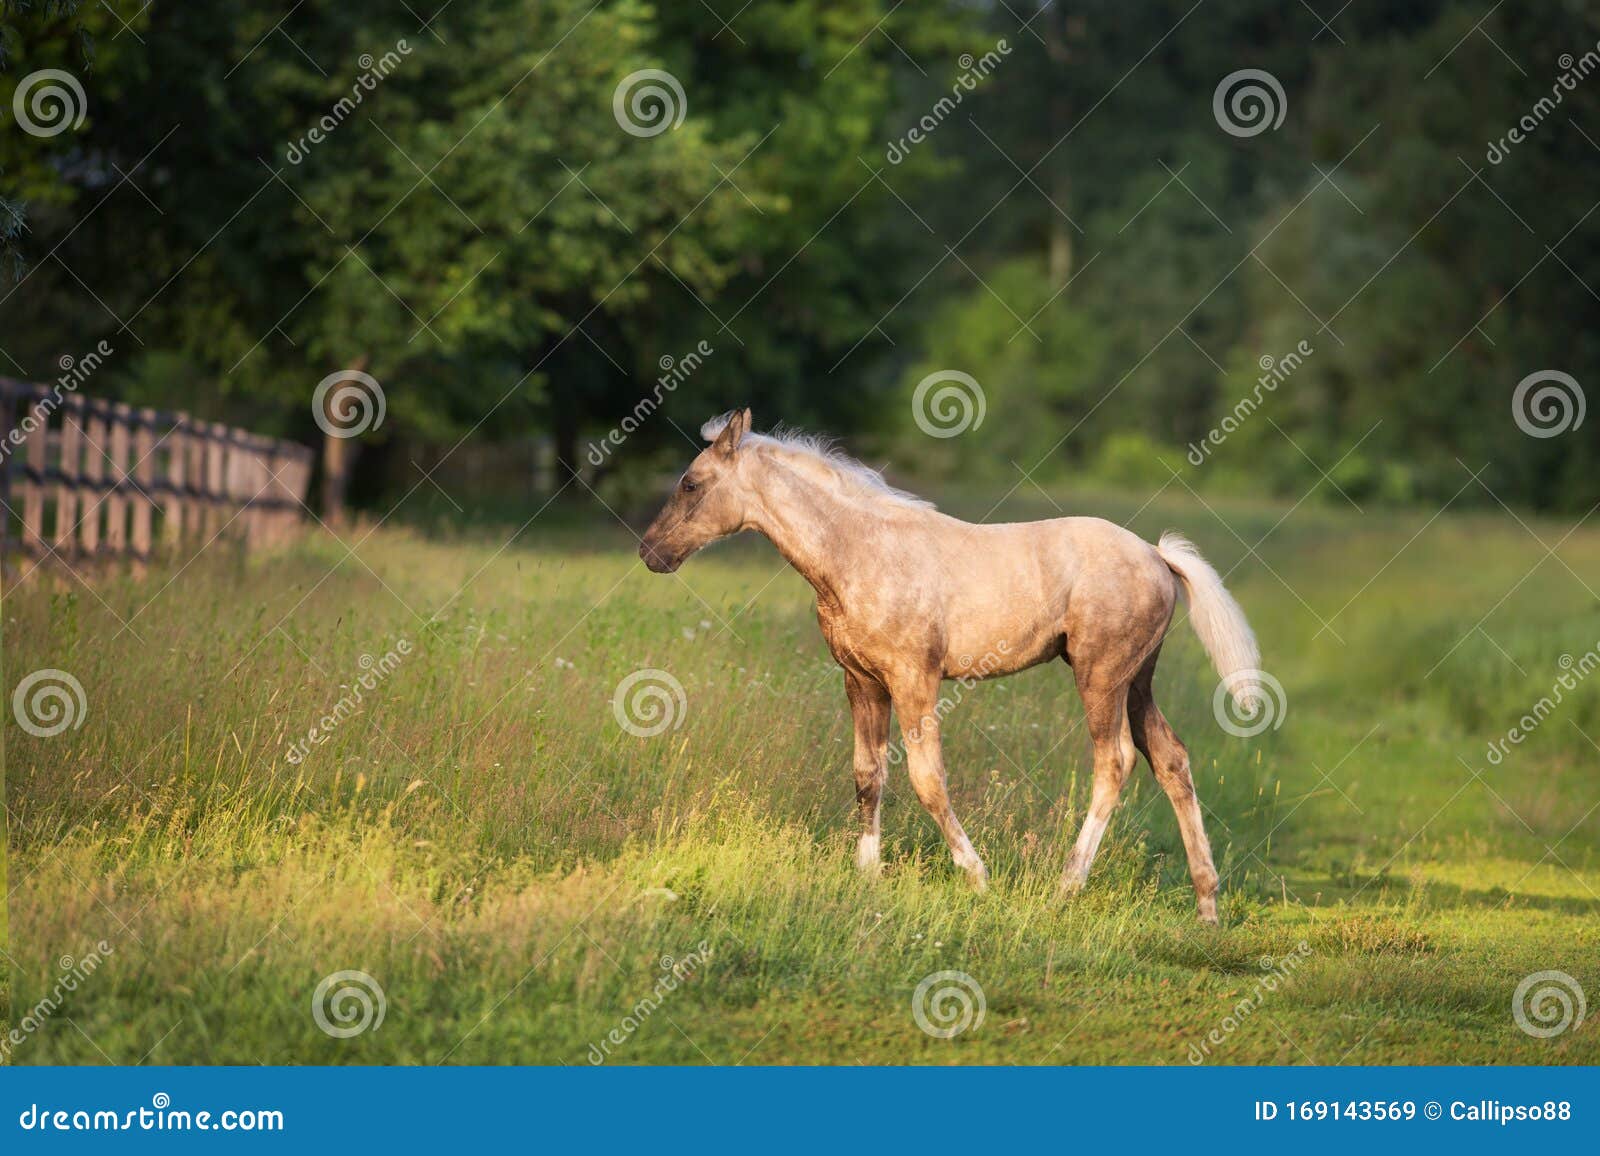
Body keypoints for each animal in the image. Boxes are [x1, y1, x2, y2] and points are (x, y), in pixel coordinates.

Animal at [639, 409, 1263, 923]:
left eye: (690, 483)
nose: (649, 553)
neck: (859, 552)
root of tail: (1157, 555)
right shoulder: (862, 682)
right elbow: (868, 776)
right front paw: (868, 877)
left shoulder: (914, 679)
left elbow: (927, 779)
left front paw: (977, 877)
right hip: (1137, 682)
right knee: (1171, 759)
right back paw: (1206, 905)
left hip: (1101, 677)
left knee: (1116, 762)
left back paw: (1065, 888)